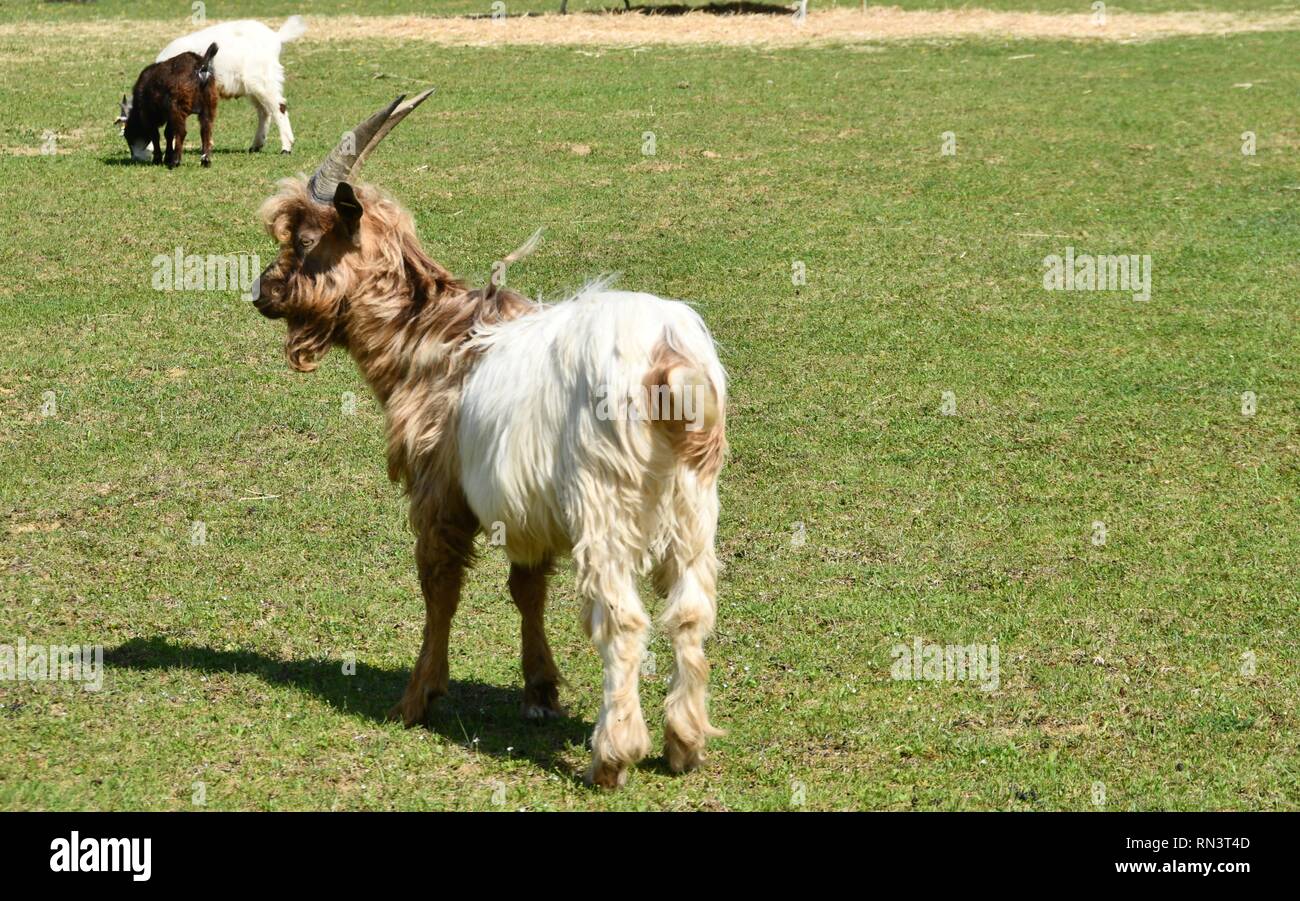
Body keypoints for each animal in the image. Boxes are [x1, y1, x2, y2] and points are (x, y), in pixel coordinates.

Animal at [155, 16, 305, 154]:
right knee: (264, 110)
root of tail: (276, 37)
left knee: (279, 106)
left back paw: (286, 147)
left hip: (262, 79)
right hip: (253, 86)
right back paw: (256, 146)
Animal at [250, 92, 728, 788]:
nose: (261, 291)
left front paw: (416, 698)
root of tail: (668, 358)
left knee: (624, 618)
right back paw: (684, 743)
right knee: (691, 611)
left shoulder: (439, 491)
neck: (426, 335)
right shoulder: (523, 503)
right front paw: (539, 692)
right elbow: (527, 588)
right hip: (693, 504)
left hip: (605, 502)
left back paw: (612, 755)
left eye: (306, 240)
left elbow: (439, 588)